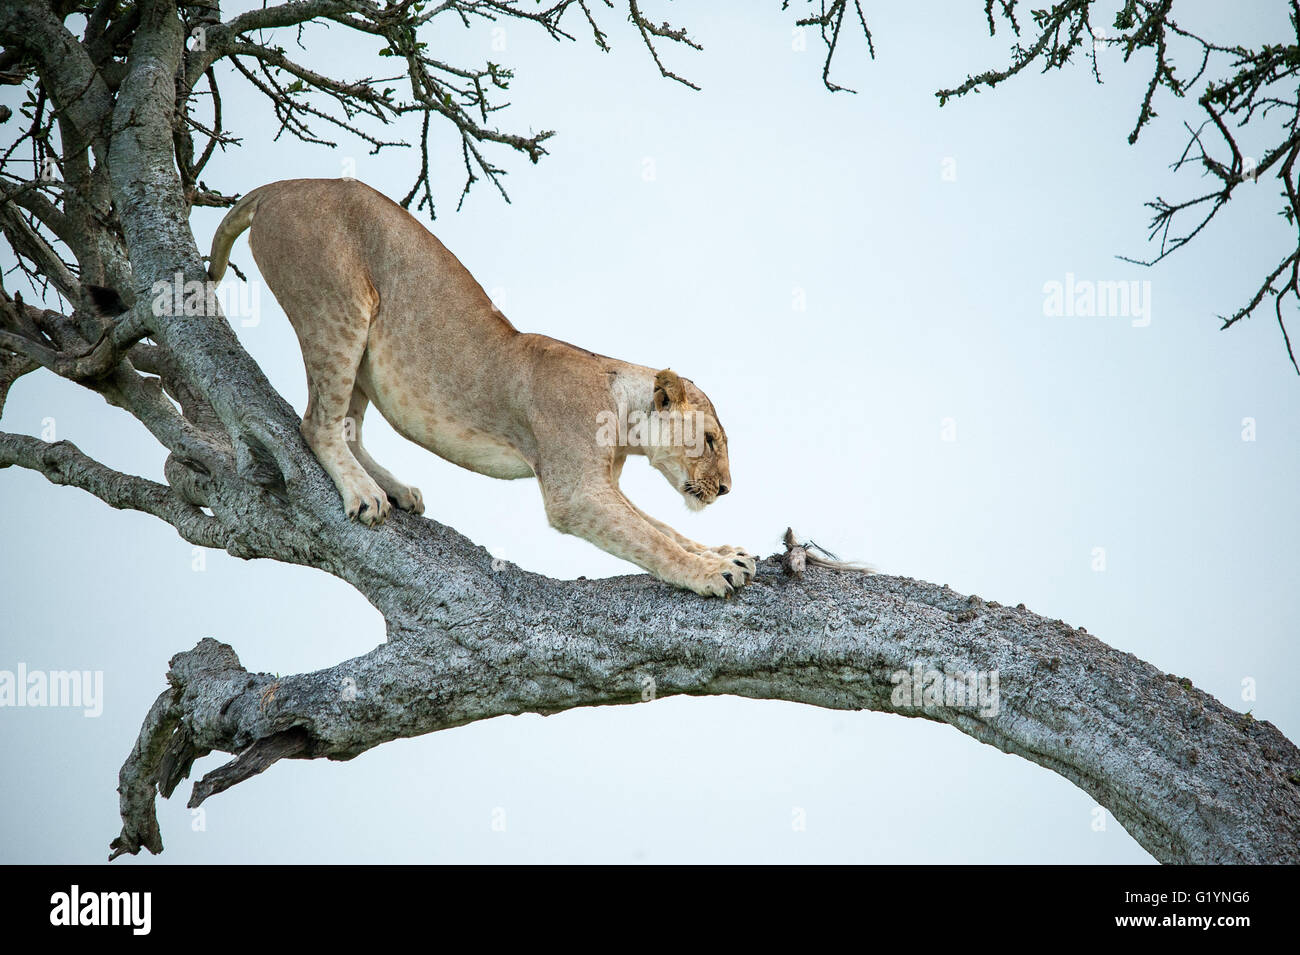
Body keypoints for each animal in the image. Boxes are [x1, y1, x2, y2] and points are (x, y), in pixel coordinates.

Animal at [207, 178, 756, 597]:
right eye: (710, 440)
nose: (727, 489)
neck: (626, 417)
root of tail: (280, 186)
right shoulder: (576, 492)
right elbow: (652, 540)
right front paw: (711, 572)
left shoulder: (603, 484)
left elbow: (663, 527)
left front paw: (723, 553)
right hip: (337, 307)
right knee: (316, 423)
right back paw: (364, 494)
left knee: (348, 427)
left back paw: (394, 488)